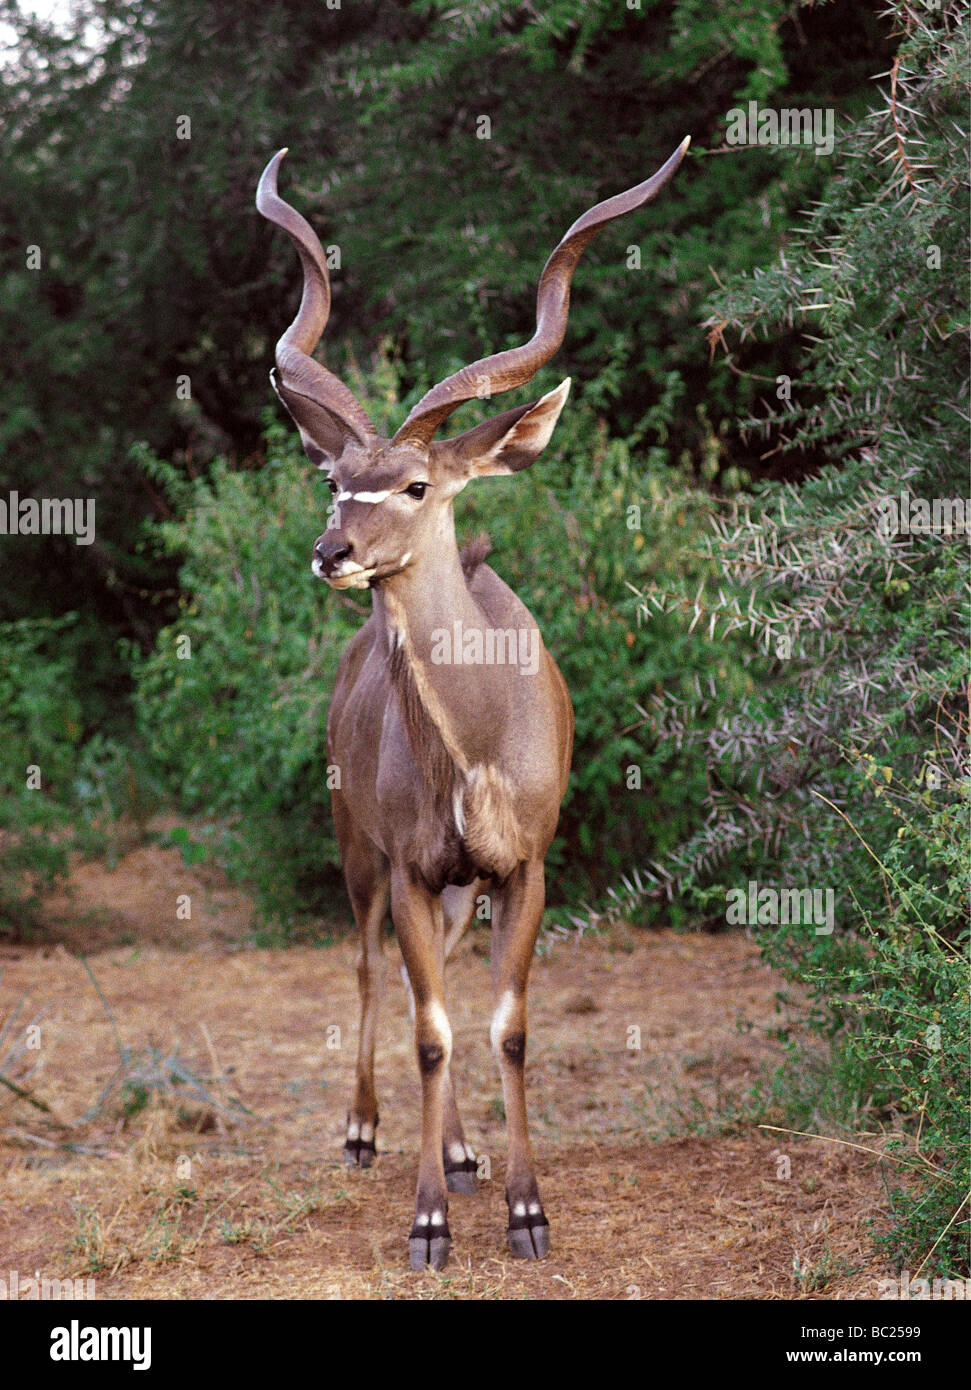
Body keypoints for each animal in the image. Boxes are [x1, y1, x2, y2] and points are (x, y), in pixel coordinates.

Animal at [255, 137, 690, 1270]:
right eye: (333, 478)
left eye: (415, 484)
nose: (332, 551)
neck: (478, 738)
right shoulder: (412, 867)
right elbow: (428, 1029)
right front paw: (427, 1225)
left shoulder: (523, 867)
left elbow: (504, 1025)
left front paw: (526, 1211)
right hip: (360, 852)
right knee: (376, 971)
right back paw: (366, 1134)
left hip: (459, 890)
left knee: (437, 982)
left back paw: (457, 1153)